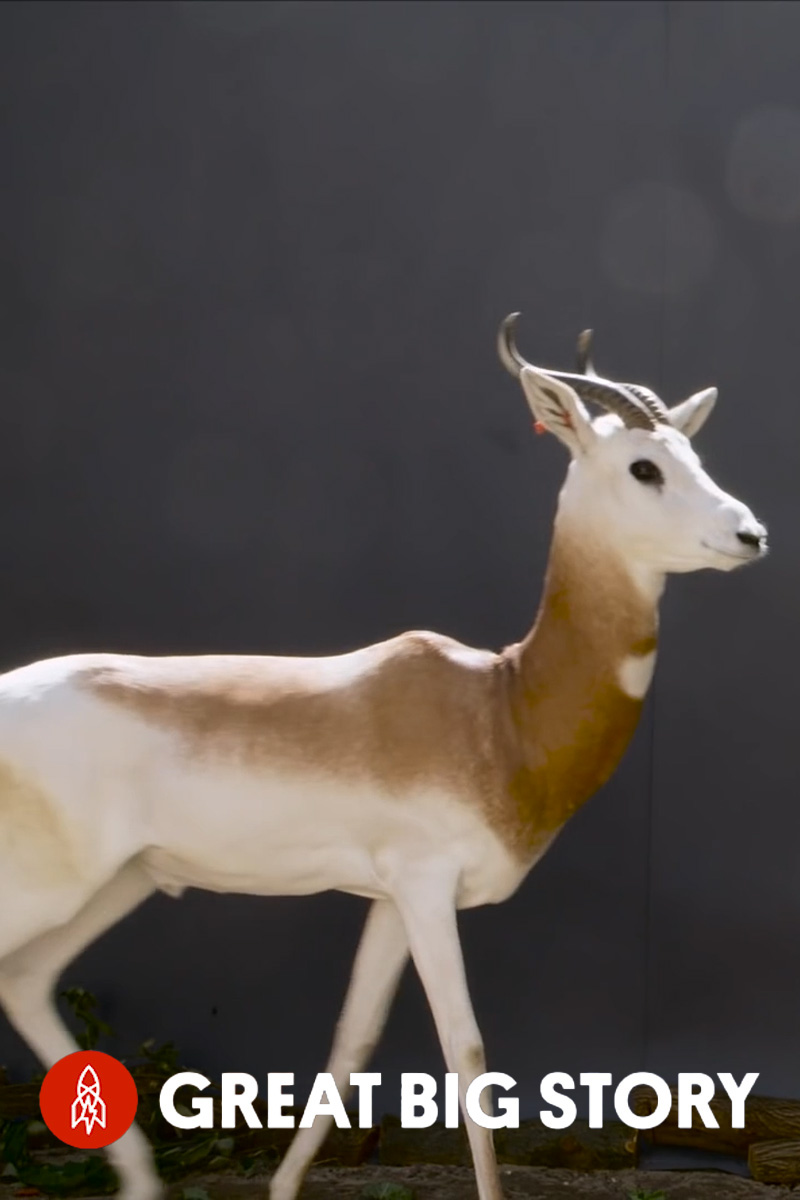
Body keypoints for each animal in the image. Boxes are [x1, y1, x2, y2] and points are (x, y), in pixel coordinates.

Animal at [0, 314, 767, 1200]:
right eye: (644, 466)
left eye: (693, 455)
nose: (751, 534)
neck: (499, 709)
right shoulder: (427, 888)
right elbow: (466, 1054)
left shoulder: (389, 900)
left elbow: (352, 1045)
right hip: (45, 886)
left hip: (114, 884)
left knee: (24, 981)